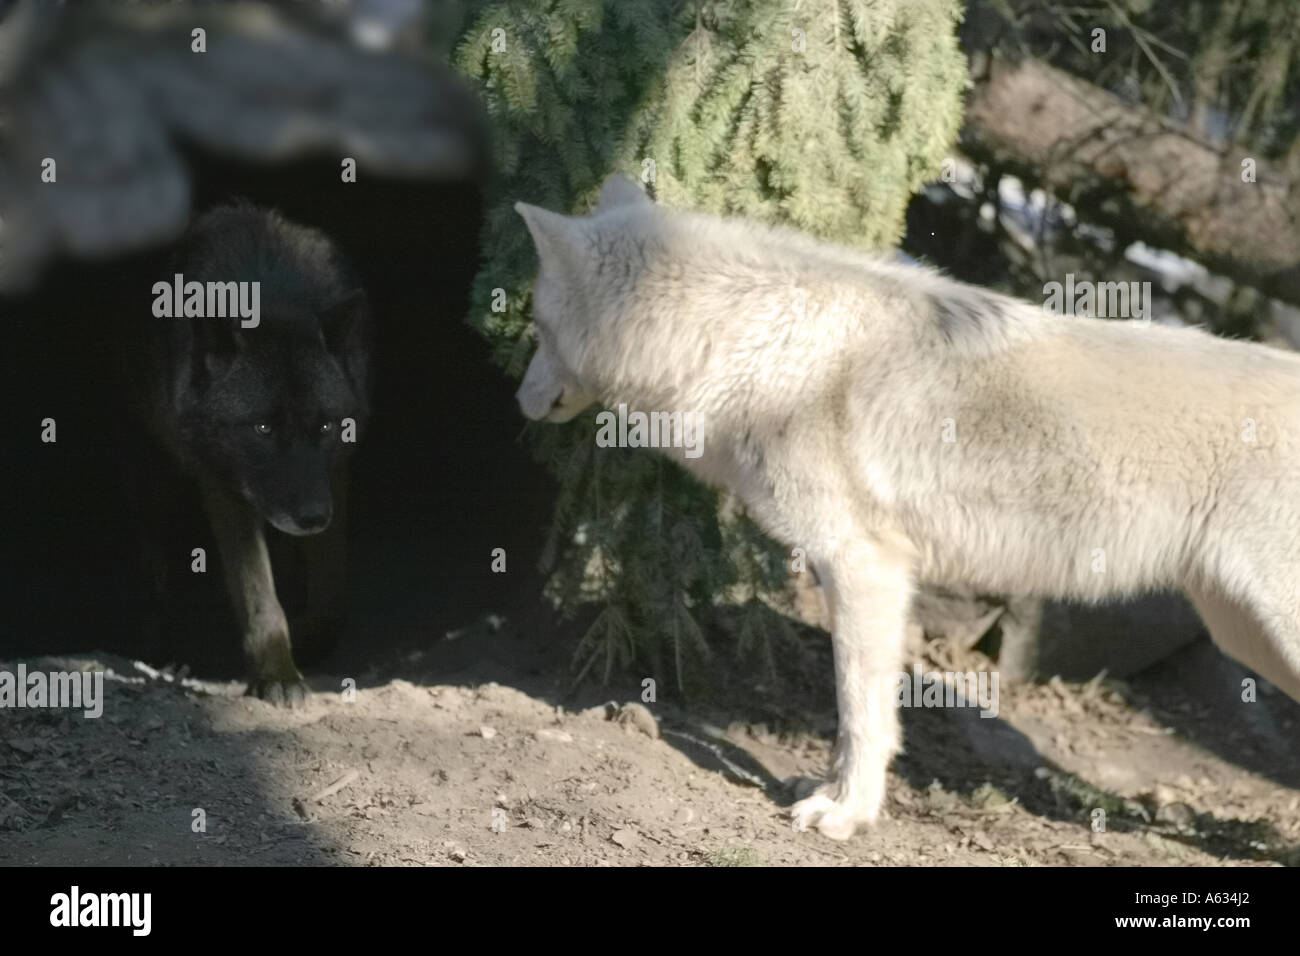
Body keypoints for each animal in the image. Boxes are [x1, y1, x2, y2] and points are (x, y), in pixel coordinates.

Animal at [134, 202, 370, 706]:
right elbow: (259, 596)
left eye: (325, 426)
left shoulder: (333, 475)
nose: (311, 517)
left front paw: (308, 639)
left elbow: (332, 591)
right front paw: (277, 673)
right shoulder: (223, 484)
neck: (269, 296)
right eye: (262, 428)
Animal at [514, 174, 1300, 839]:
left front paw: (846, 815)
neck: (755, 345)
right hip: (1241, 631)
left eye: (538, 326)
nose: (518, 401)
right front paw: (828, 791)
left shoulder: (864, 564)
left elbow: (859, 708)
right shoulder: (871, 575)